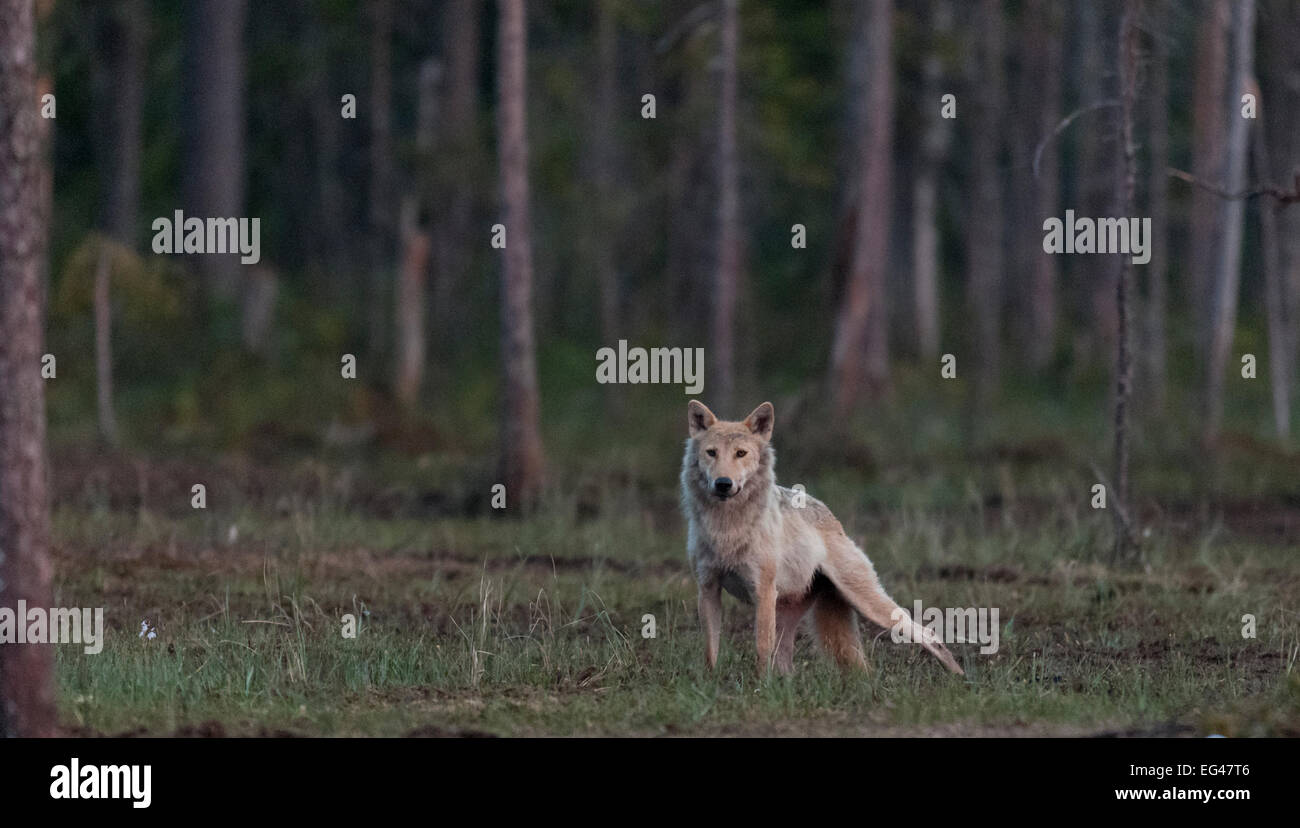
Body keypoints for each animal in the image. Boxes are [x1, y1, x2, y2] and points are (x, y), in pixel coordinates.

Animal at [680, 400, 964, 675]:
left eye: (741, 453)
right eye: (712, 453)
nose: (723, 483)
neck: (726, 527)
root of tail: (832, 518)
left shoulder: (763, 592)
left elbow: (761, 649)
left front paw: (759, 685)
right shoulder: (708, 589)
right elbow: (710, 651)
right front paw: (710, 682)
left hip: (868, 605)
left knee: (927, 633)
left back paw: (958, 676)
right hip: (790, 616)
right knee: (787, 663)